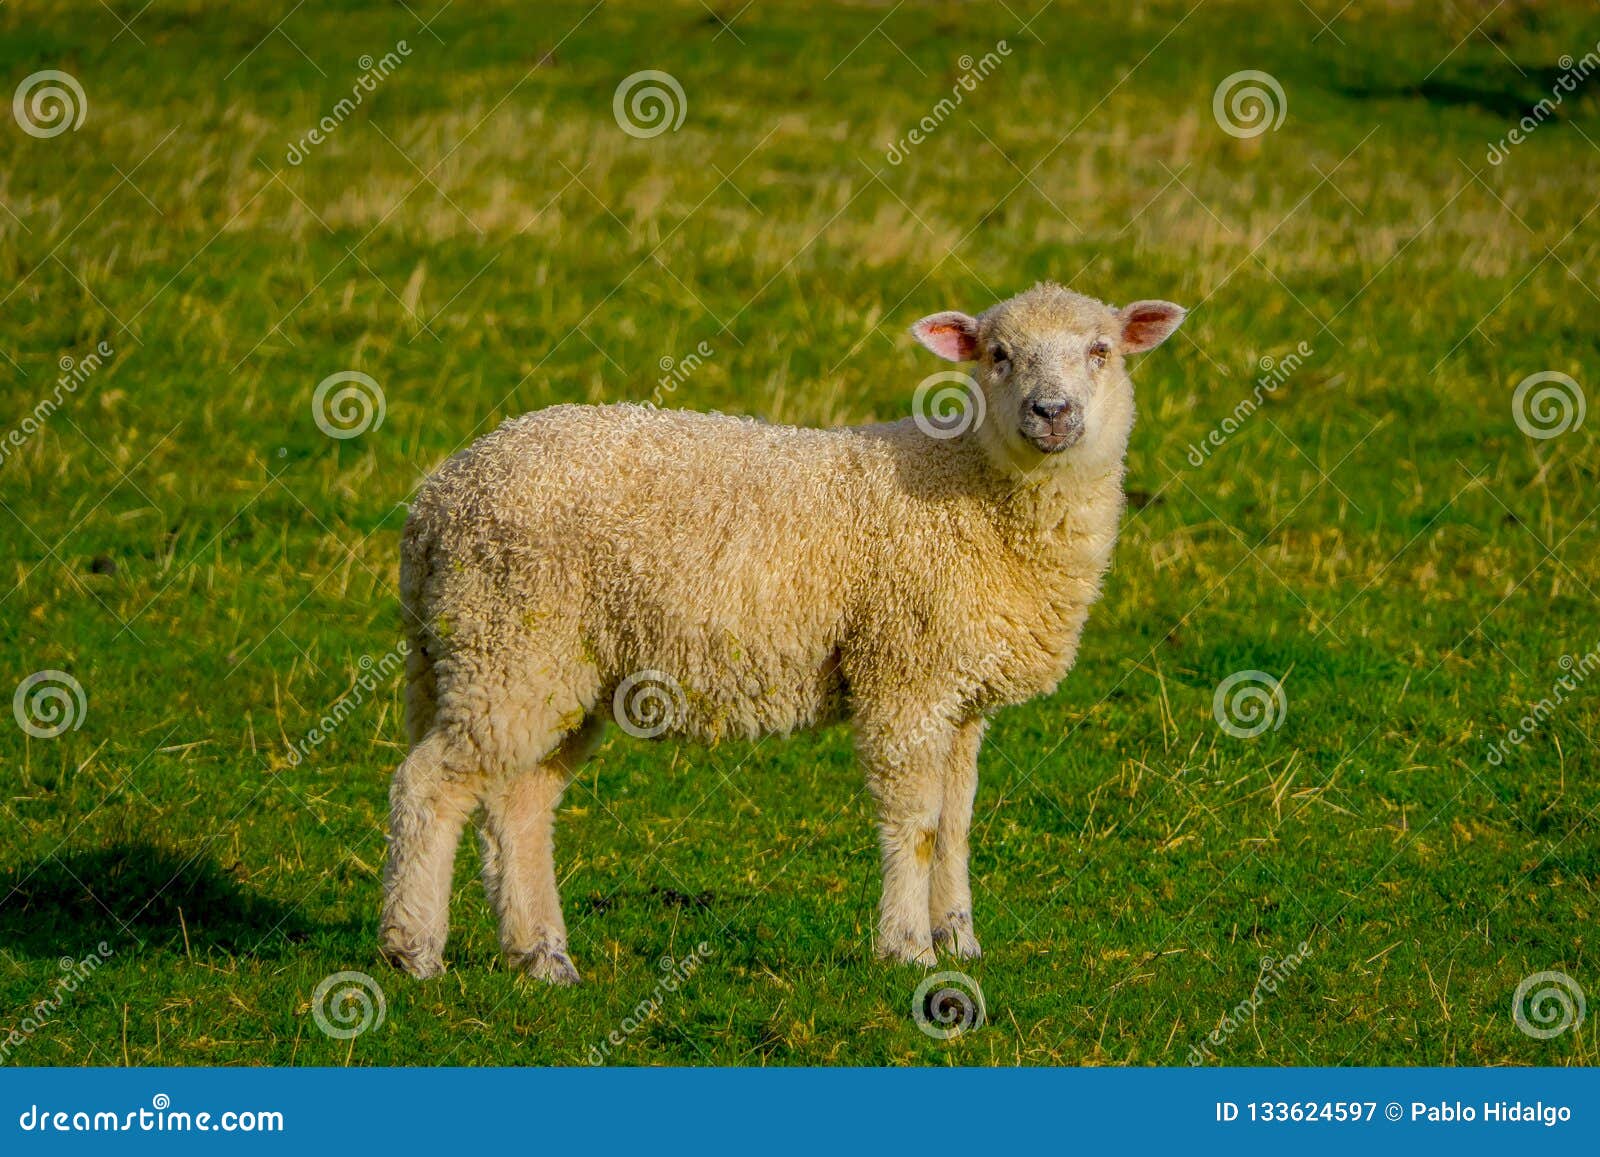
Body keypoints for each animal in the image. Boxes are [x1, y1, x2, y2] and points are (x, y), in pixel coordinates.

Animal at [378, 282, 1186, 983]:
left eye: (1102, 350)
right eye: (998, 354)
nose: (1052, 412)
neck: (976, 488)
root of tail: (437, 501)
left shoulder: (960, 697)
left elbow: (956, 823)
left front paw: (959, 938)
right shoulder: (906, 675)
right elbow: (916, 822)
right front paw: (908, 948)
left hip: (530, 660)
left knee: (519, 803)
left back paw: (541, 956)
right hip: (509, 640)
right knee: (429, 785)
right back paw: (412, 949)